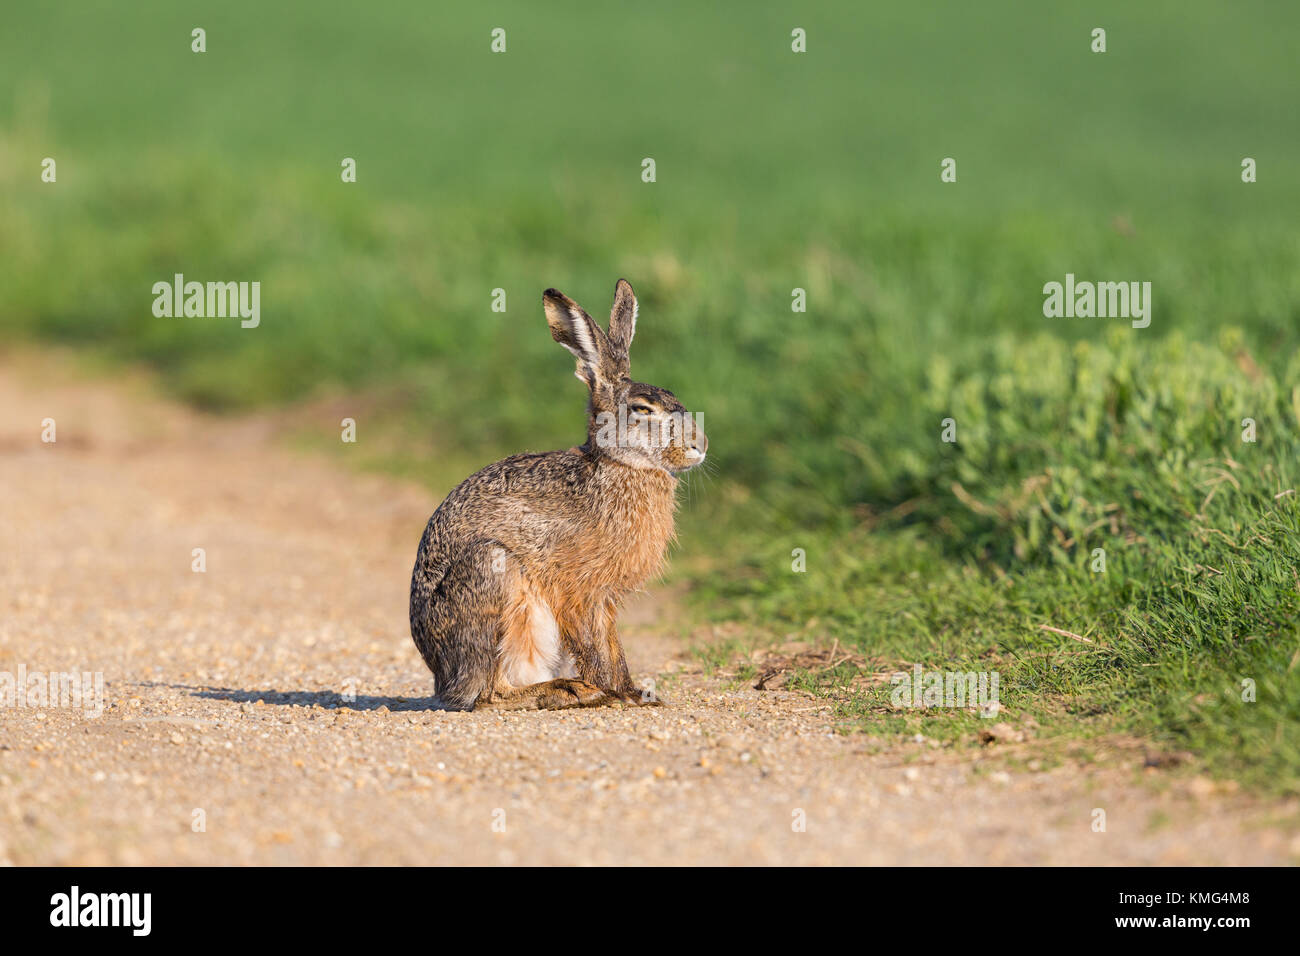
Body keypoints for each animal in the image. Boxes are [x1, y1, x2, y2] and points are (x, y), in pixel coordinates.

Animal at [409, 279, 708, 711]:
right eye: (642, 409)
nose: (700, 446)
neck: (618, 465)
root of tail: (442, 678)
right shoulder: (577, 591)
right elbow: (593, 647)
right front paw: (611, 694)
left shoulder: (604, 600)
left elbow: (613, 646)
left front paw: (634, 693)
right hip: (492, 577)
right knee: (488, 693)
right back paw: (567, 690)